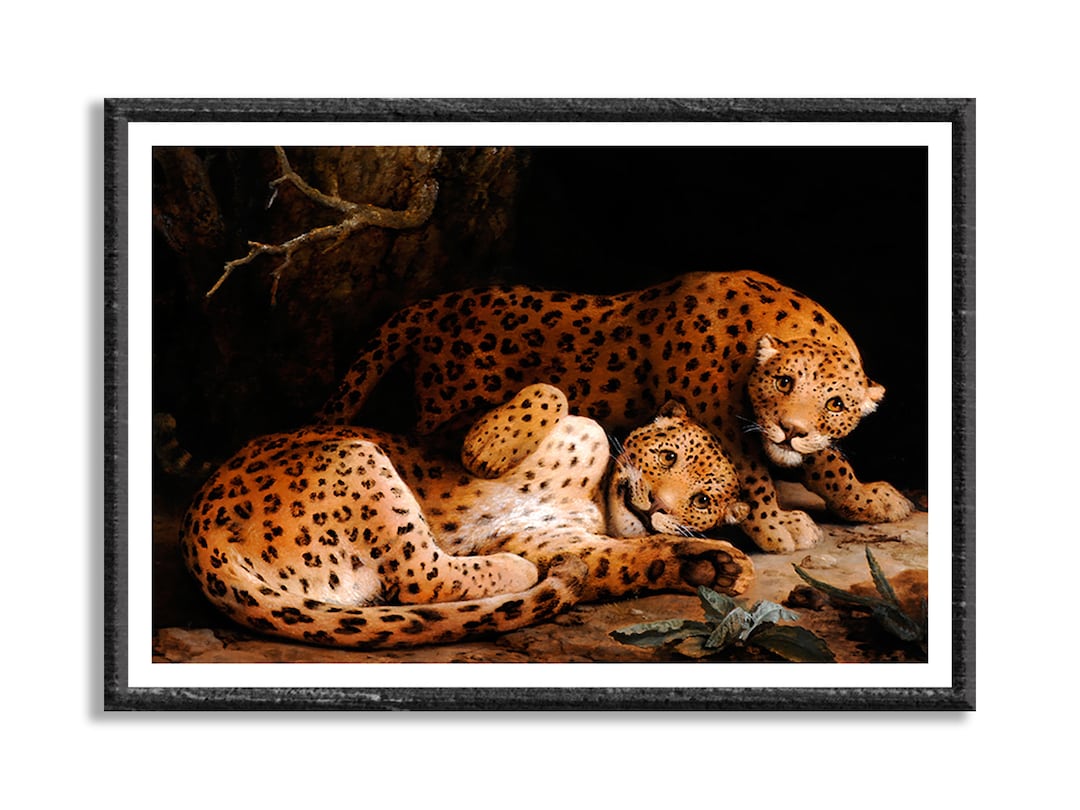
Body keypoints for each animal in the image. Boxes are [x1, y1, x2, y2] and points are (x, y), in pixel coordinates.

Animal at [180, 383, 754, 649]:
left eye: (702, 501)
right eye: (669, 456)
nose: (656, 503)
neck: (594, 500)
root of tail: (199, 530)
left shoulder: (564, 542)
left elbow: (633, 559)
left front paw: (714, 567)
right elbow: (552, 395)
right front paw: (487, 451)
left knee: (424, 578)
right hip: (357, 455)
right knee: (418, 576)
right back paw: (518, 570)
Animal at [317, 270, 914, 553]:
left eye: (836, 404)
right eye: (783, 382)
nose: (791, 432)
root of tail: (436, 303)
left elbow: (829, 462)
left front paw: (868, 499)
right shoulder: (721, 422)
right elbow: (753, 475)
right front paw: (777, 526)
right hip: (446, 401)